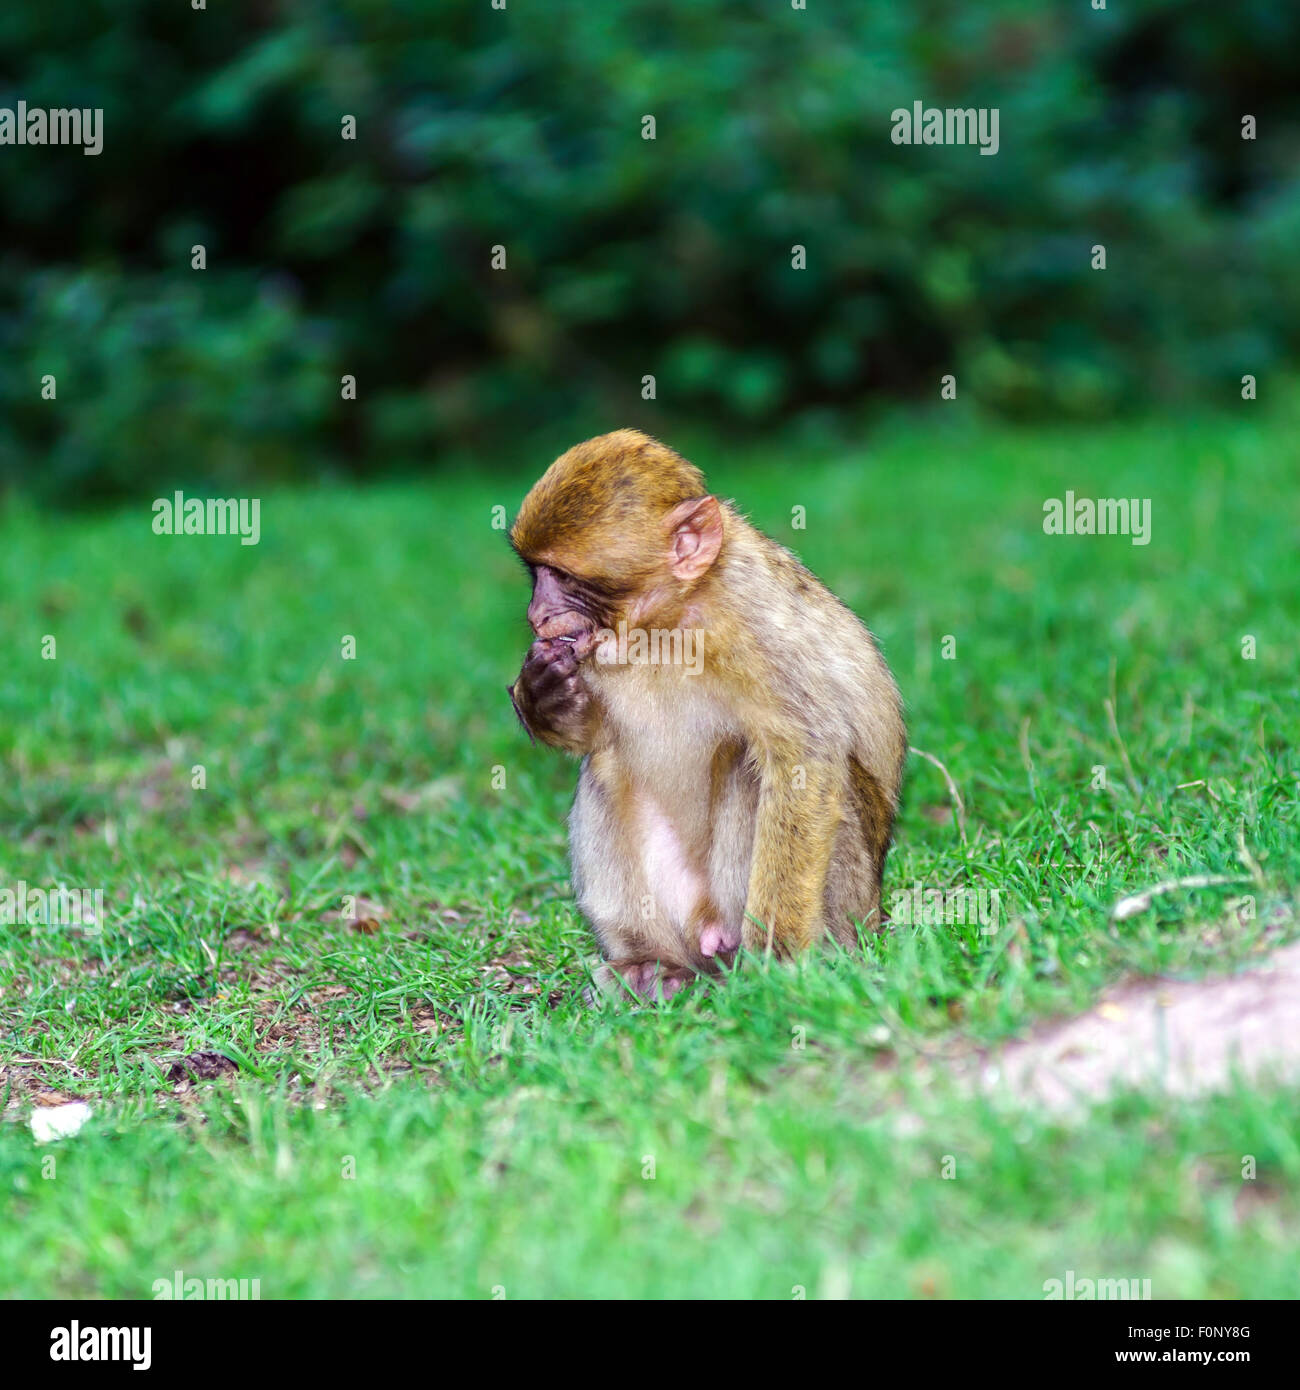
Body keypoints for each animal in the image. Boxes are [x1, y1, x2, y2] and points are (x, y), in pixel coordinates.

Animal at [508, 429, 905, 1002]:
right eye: (535, 573)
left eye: (561, 575)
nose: (536, 615)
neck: (664, 624)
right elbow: (594, 736)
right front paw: (542, 696)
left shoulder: (753, 629)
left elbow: (805, 757)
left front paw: (778, 960)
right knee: (606, 769)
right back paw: (651, 965)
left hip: (847, 907)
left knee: (747, 764)